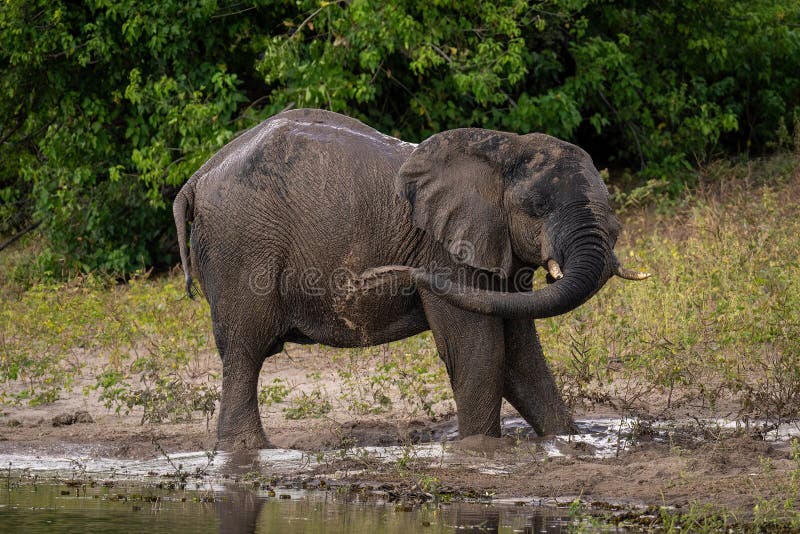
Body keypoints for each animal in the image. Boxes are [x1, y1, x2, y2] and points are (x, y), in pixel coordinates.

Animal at [173, 108, 649, 450]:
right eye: (536, 207)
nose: (371, 277)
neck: (502, 147)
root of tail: (195, 178)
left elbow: (520, 352)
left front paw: (569, 439)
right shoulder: (444, 251)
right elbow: (479, 348)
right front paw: (480, 450)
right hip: (243, 247)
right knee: (245, 351)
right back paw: (252, 452)